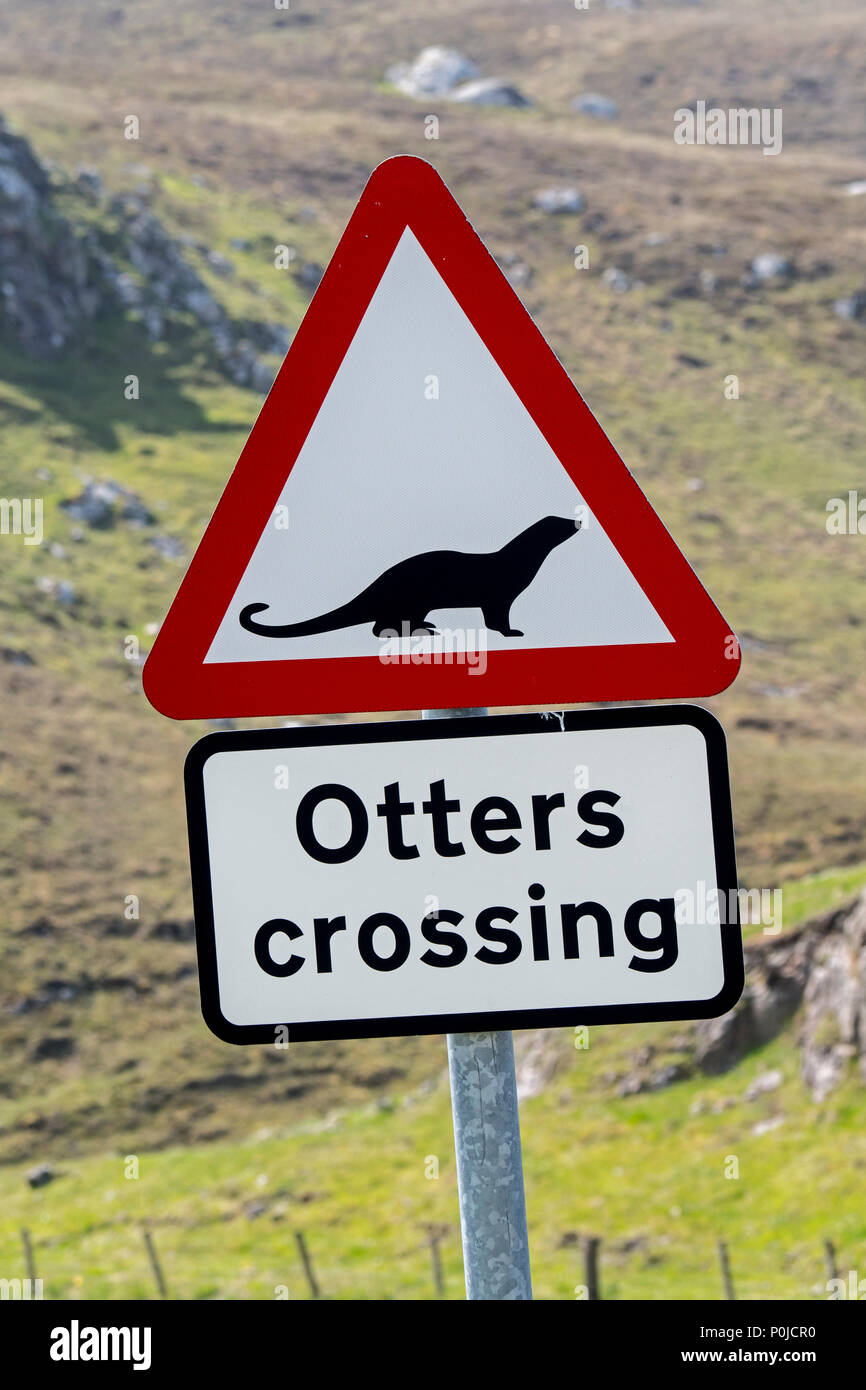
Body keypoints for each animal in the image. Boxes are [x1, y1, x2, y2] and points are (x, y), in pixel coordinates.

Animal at [238, 514, 580, 640]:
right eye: (561, 522)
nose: (578, 520)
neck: (516, 560)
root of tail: (376, 585)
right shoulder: (499, 596)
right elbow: (497, 620)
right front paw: (512, 633)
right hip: (412, 600)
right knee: (379, 627)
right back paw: (418, 631)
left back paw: (425, 627)